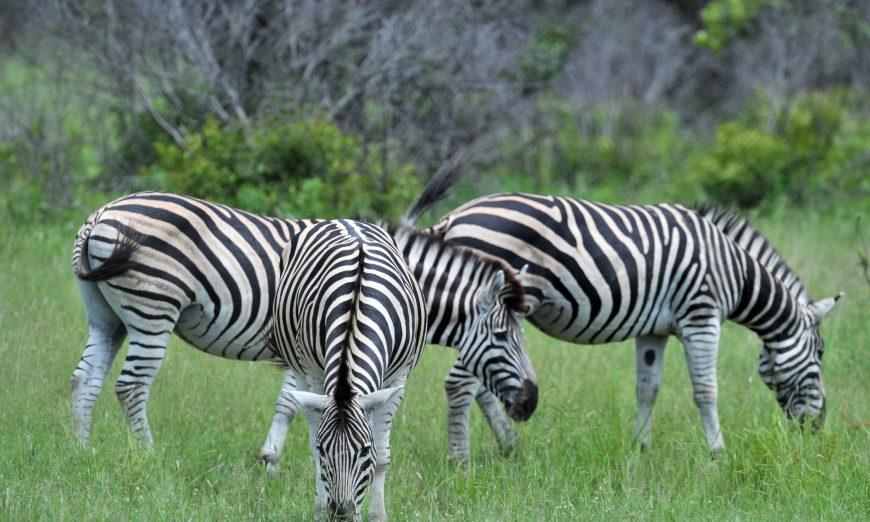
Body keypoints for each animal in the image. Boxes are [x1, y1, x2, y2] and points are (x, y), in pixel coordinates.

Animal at [70, 191, 536, 466]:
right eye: (502, 337)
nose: (530, 404)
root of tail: (99, 215)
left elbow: (290, 401)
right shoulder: (311, 343)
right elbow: (293, 403)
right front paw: (271, 460)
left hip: (106, 316)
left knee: (84, 378)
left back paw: (82, 450)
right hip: (153, 307)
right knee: (130, 386)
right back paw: (149, 457)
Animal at [270, 219, 426, 521]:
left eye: (364, 451)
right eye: (324, 450)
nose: (341, 514)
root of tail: (346, 220)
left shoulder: (397, 379)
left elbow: (383, 456)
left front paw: (377, 515)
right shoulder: (314, 375)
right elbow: (314, 449)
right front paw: (321, 511)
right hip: (300, 372)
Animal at [408, 191, 841, 453]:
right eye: (820, 354)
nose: (818, 428)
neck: (731, 267)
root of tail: (453, 218)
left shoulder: (653, 330)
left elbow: (647, 388)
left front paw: (640, 448)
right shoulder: (701, 315)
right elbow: (706, 390)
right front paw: (717, 453)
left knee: (480, 385)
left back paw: (510, 446)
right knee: (464, 383)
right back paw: (483, 453)